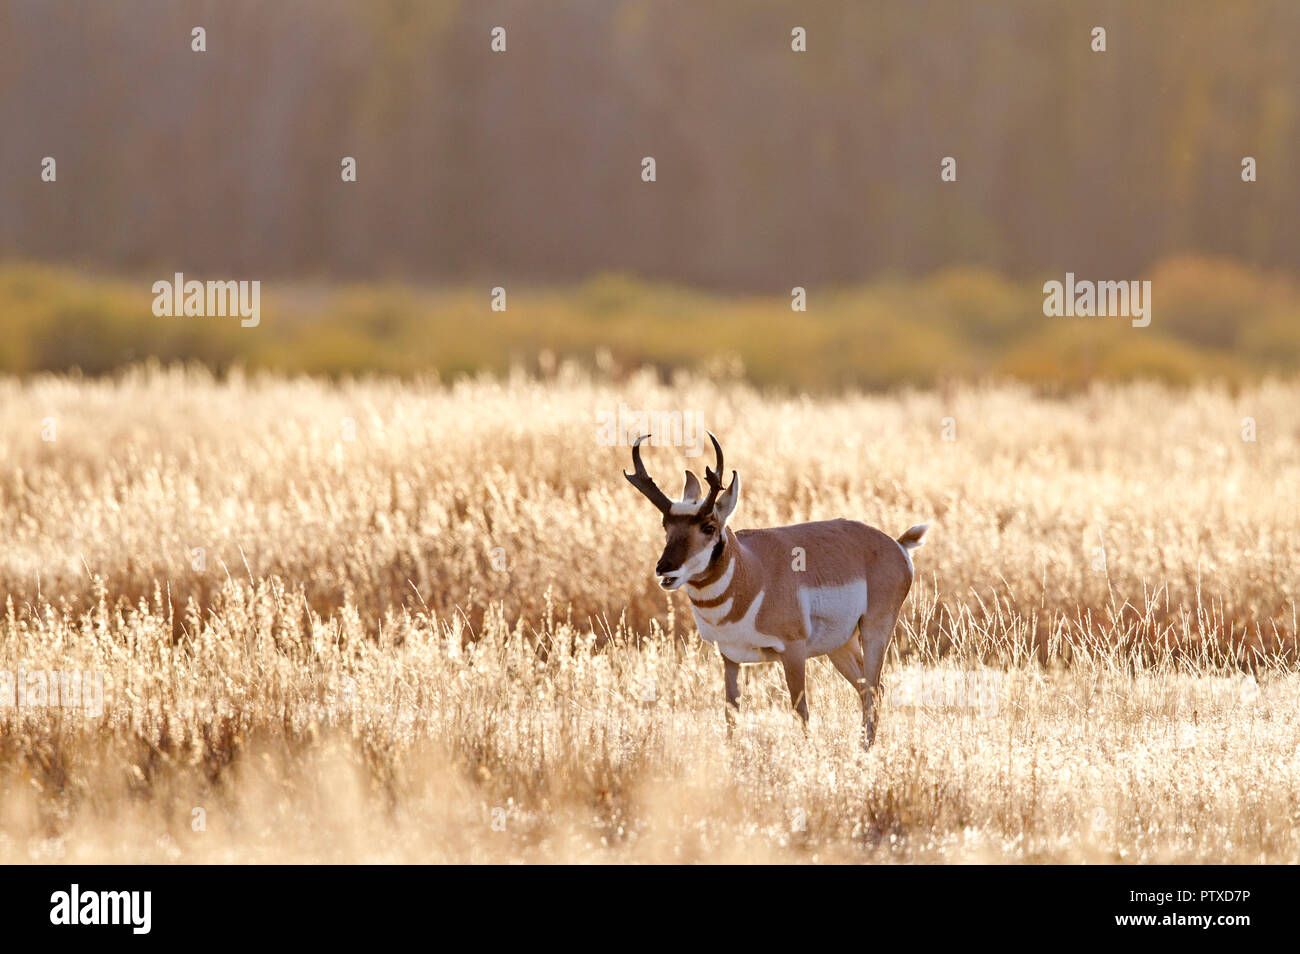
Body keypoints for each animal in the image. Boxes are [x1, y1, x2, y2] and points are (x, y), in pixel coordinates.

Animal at [624, 432, 927, 748]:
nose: (664, 568)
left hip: (874, 632)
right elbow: (731, 713)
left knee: (874, 688)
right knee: (868, 688)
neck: (751, 571)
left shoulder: (792, 651)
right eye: (666, 524)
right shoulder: (729, 657)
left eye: (708, 526)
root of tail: (896, 544)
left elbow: (800, 709)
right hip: (840, 645)